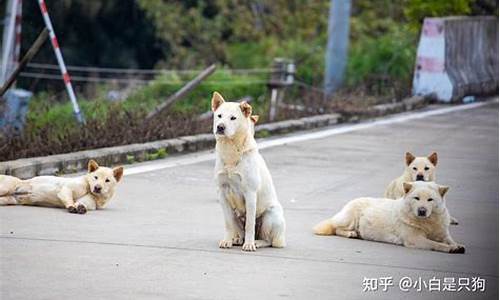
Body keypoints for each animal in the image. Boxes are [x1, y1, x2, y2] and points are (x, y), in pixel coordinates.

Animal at [212, 91, 288, 251]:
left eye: (233, 118)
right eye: (219, 116)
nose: (220, 127)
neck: (231, 151)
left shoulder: (250, 193)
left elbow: (250, 225)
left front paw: (249, 244)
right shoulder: (222, 193)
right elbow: (228, 223)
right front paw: (227, 240)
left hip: (271, 215)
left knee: (268, 240)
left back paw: (256, 242)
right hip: (236, 213)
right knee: (237, 227)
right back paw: (237, 239)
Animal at [312, 182, 464, 254]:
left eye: (430, 200)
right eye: (416, 198)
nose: (422, 210)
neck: (427, 222)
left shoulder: (442, 233)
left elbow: (449, 240)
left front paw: (457, 246)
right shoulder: (415, 239)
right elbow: (436, 244)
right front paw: (449, 249)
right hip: (350, 218)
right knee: (336, 228)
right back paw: (351, 233)